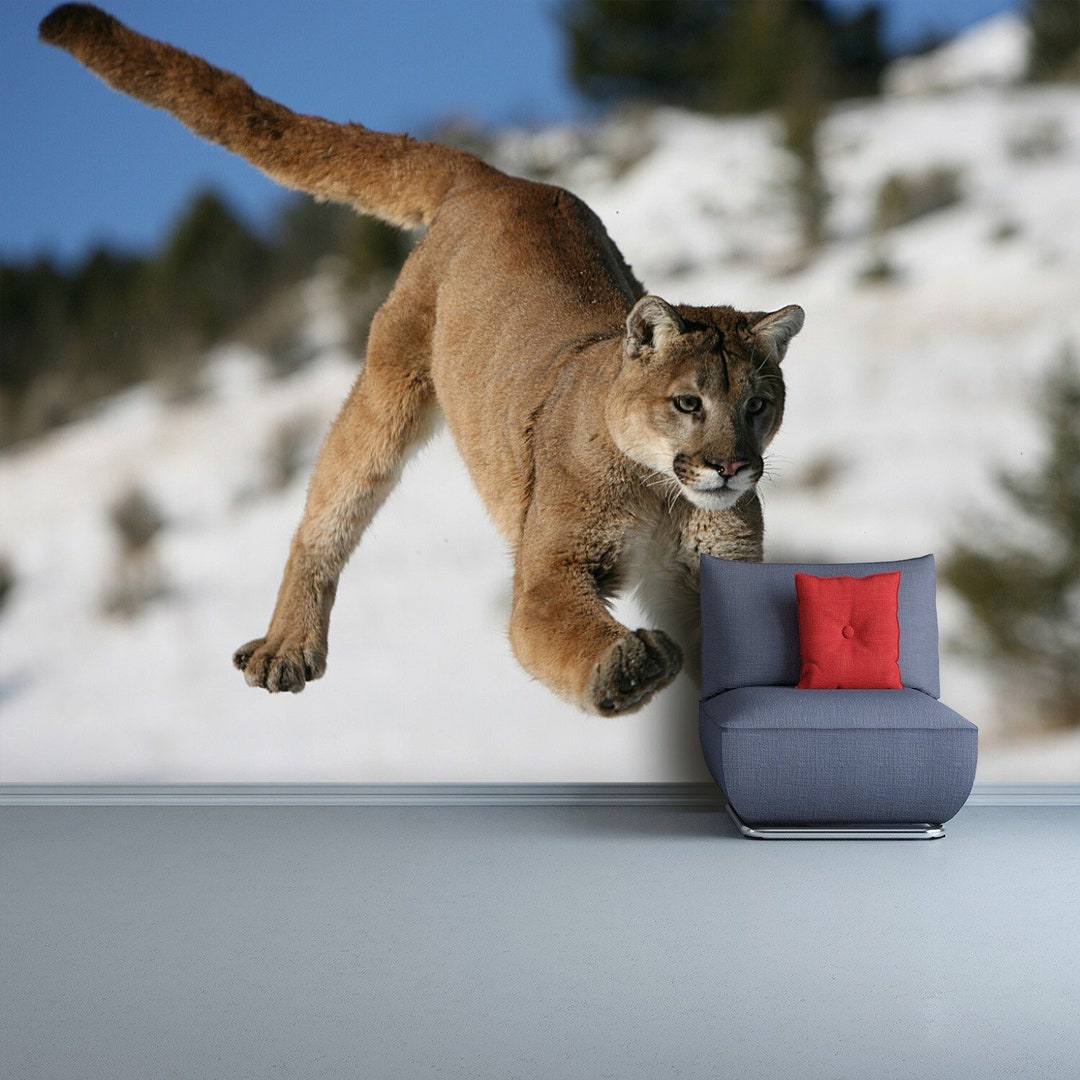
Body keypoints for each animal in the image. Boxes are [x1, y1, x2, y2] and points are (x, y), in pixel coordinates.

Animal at [40, 4, 804, 715]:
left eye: (757, 405)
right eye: (688, 402)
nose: (731, 466)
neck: (660, 491)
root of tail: (497, 178)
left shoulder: (714, 572)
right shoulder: (549, 575)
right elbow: (562, 627)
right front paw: (625, 667)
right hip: (387, 391)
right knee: (325, 513)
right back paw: (287, 647)